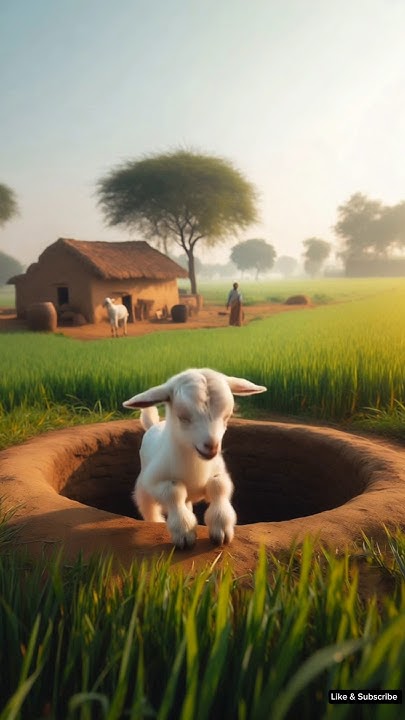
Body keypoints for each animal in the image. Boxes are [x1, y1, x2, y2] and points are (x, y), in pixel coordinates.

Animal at [123, 368, 267, 549]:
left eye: (227, 416)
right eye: (183, 417)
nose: (212, 447)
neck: (196, 467)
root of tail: (154, 425)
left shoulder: (218, 472)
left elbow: (218, 486)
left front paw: (221, 530)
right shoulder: (155, 481)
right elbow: (173, 492)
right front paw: (184, 533)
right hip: (143, 488)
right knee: (148, 508)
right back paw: (157, 521)